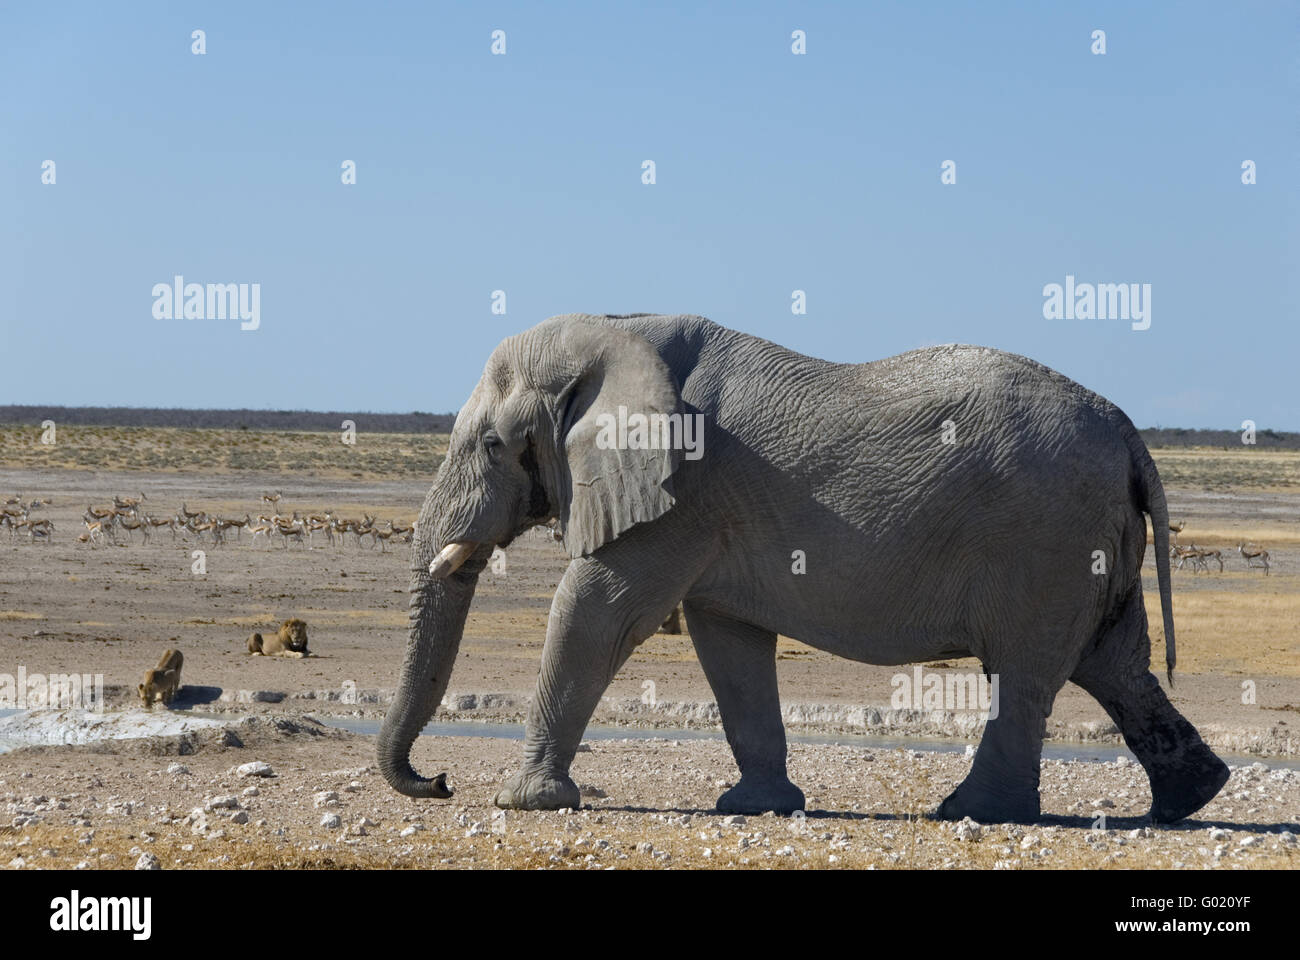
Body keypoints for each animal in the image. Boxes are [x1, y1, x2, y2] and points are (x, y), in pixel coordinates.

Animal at [378, 312, 1229, 824]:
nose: (438, 780)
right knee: (1113, 661)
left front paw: (526, 802)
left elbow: (597, 612)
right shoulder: (711, 516)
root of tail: (1128, 428)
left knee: (1025, 671)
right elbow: (726, 641)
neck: (617, 330)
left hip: (1046, 539)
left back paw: (971, 813)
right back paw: (1187, 802)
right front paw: (754, 806)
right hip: (1090, 541)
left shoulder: (681, 493)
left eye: (493, 445)